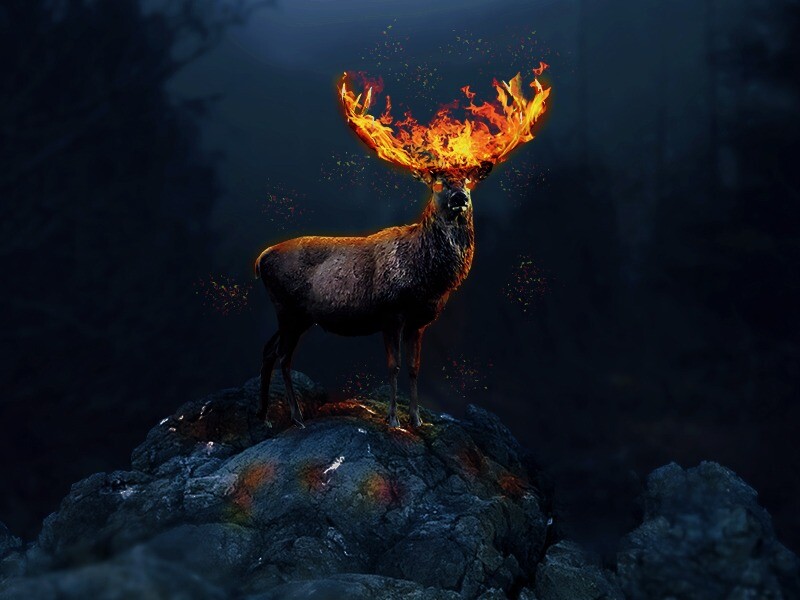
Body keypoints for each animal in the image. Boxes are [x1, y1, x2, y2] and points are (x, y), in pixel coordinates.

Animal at [254, 69, 550, 429]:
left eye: (468, 180)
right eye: (438, 181)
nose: (459, 198)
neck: (426, 278)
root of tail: (259, 259)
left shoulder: (419, 321)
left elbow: (414, 368)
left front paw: (417, 418)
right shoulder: (390, 311)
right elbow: (393, 366)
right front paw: (394, 418)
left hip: (298, 316)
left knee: (269, 351)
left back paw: (266, 415)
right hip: (287, 308)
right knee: (282, 356)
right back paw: (294, 416)